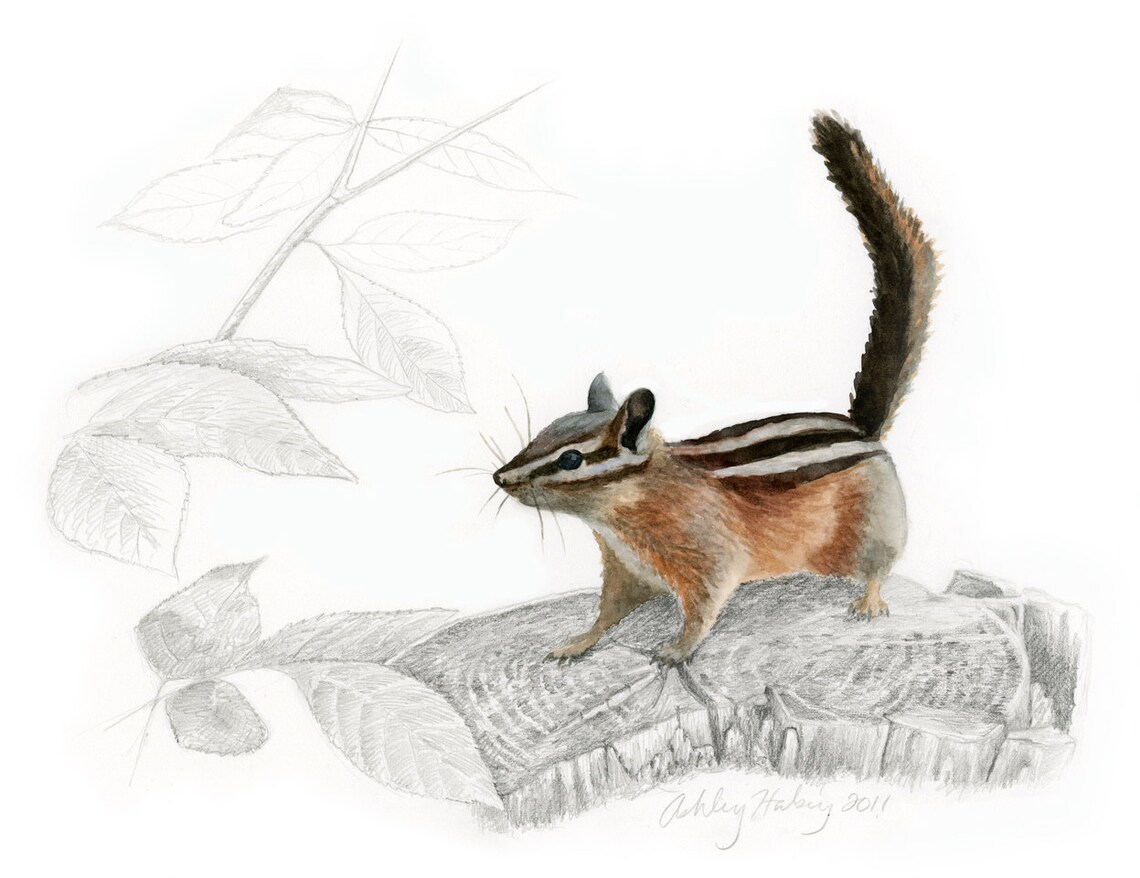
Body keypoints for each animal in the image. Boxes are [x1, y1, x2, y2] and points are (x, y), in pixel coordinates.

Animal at [492, 113, 939, 664]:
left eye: (572, 458)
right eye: (543, 433)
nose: (500, 478)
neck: (630, 508)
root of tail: (861, 429)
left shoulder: (709, 555)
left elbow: (704, 607)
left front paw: (675, 651)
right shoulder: (625, 568)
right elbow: (608, 611)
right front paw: (578, 642)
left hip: (875, 525)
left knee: (880, 564)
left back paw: (870, 601)